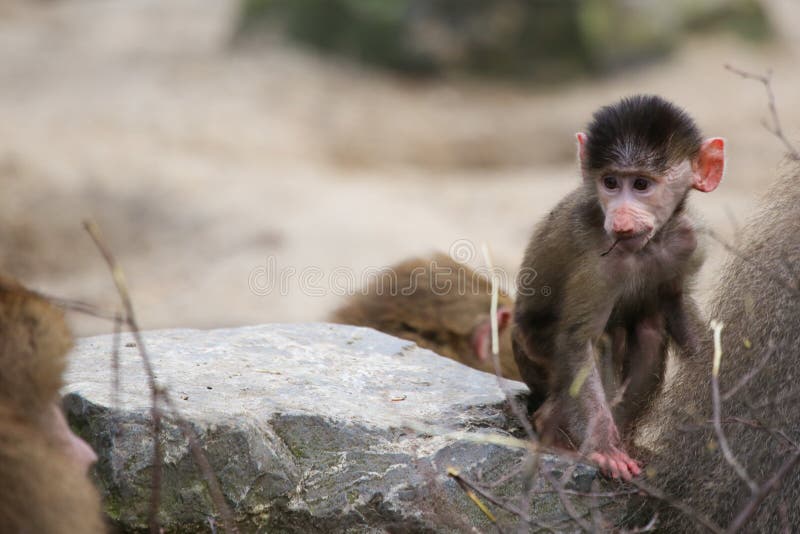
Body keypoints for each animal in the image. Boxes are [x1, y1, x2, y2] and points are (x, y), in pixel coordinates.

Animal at [512, 95, 725, 481]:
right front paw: (604, 446)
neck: (648, 245)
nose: (621, 218)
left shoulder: (686, 241)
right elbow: (579, 341)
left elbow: (676, 305)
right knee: (597, 342)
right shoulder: (598, 262)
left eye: (641, 185)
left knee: (650, 328)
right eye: (610, 182)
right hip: (531, 354)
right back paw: (556, 431)